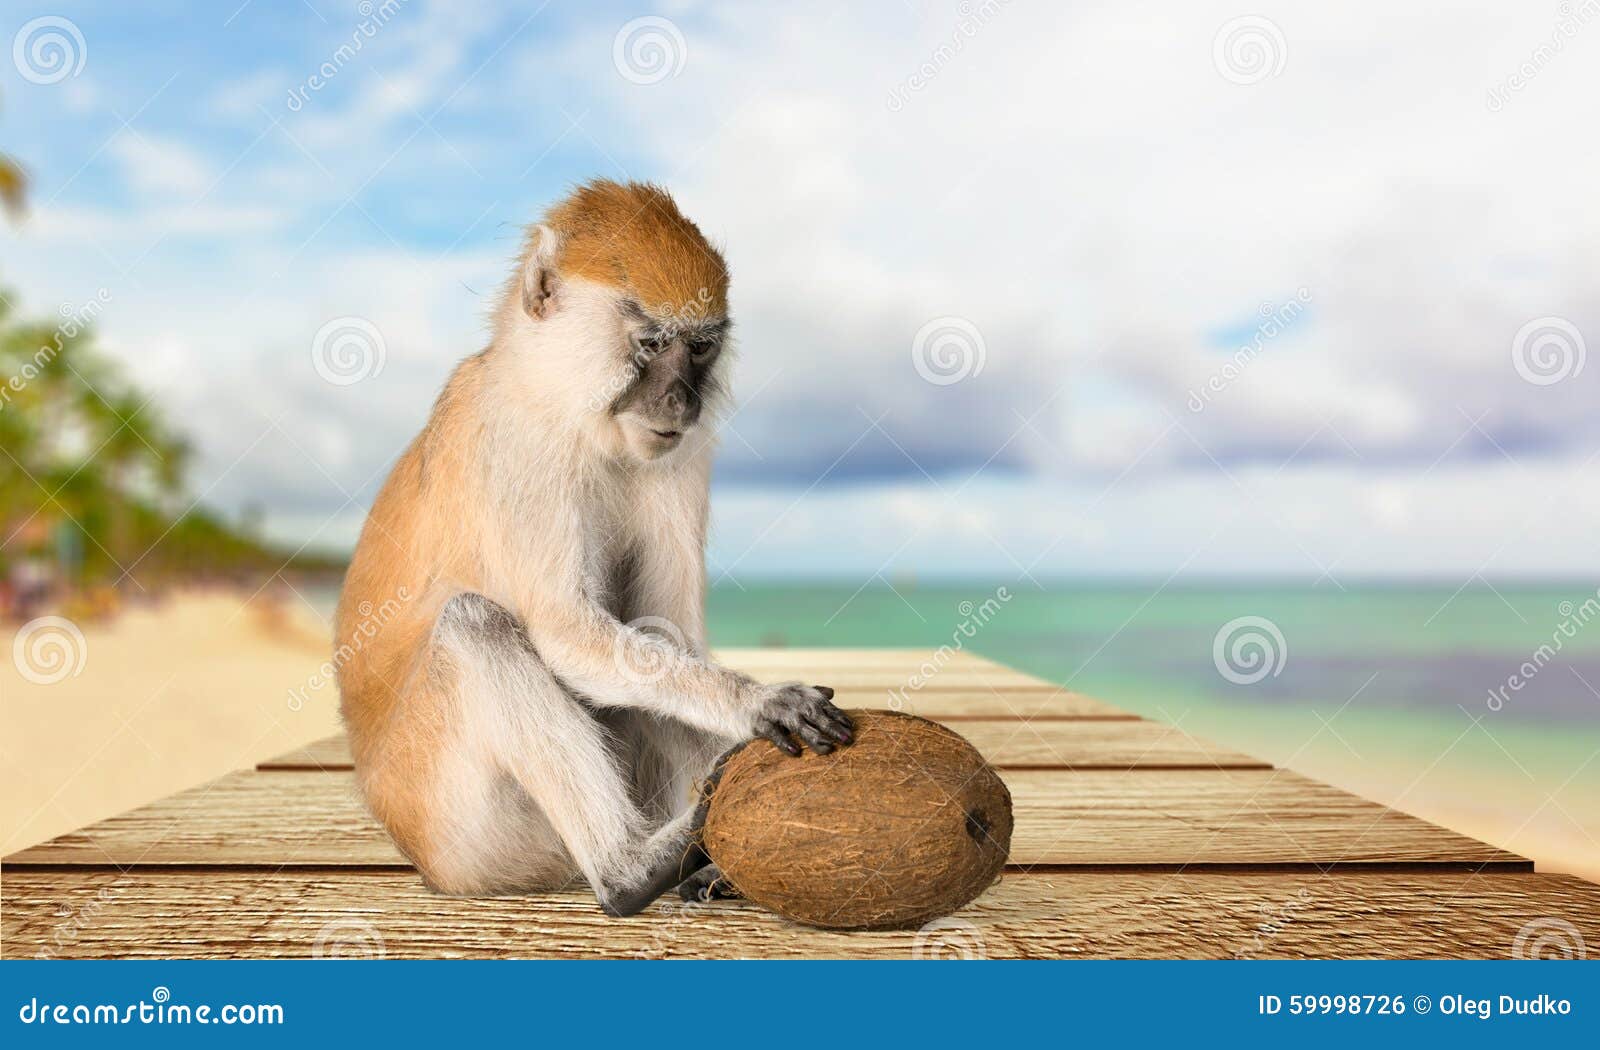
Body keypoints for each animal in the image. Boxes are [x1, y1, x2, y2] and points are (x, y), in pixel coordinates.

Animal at [334, 180, 853, 917]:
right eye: (652, 342)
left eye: (699, 349)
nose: (681, 401)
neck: (555, 397)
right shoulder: (518, 444)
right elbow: (562, 632)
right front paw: (760, 705)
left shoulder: (678, 454)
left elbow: (671, 627)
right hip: (456, 821)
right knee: (474, 625)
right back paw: (631, 870)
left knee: (651, 631)